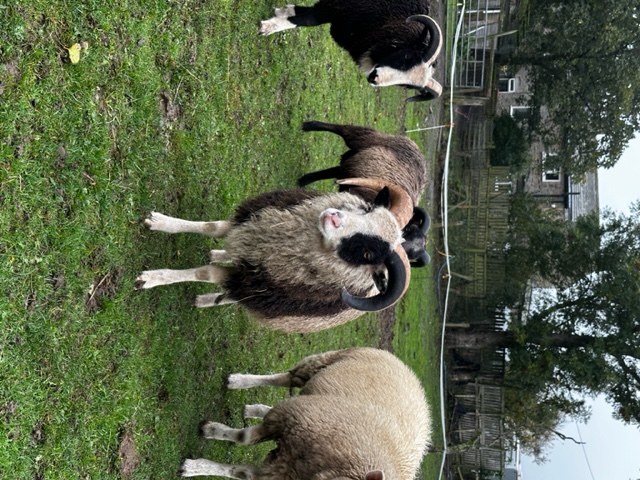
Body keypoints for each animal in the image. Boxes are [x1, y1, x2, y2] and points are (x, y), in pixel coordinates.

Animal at [136, 179, 415, 332]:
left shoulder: (248, 282)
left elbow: (205, 272)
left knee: (232, 298)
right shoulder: (250, 222)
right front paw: (159, 222)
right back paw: (217, 254)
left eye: (368, 253)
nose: (333, 217)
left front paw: (151, 279)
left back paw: (205, 300)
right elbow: (210, 228)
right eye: (367, 208)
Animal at [179, 347, 432, 480]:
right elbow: (245, 438)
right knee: (284, 378)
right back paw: (238, 381)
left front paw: (196, 467)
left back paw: (251, 408)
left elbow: (240, 472)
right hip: (322, 361)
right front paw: (209, 433)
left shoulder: (280, 471)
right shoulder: (288, 417)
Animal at [259, 1, 443, 102]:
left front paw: (280, 13)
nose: (374, 78)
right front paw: (266, 28)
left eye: (406, 86)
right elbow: (306, 20)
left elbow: (298, 14)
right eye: (406, 58)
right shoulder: (335, 8)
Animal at [298, 120, 432, 267]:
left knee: (335, 169)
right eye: (408, 230)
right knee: (343, 129)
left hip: (355, 162)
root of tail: (415, 147)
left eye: (411, 256)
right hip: (363, 139)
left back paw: (304, 180)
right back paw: (308, 126)